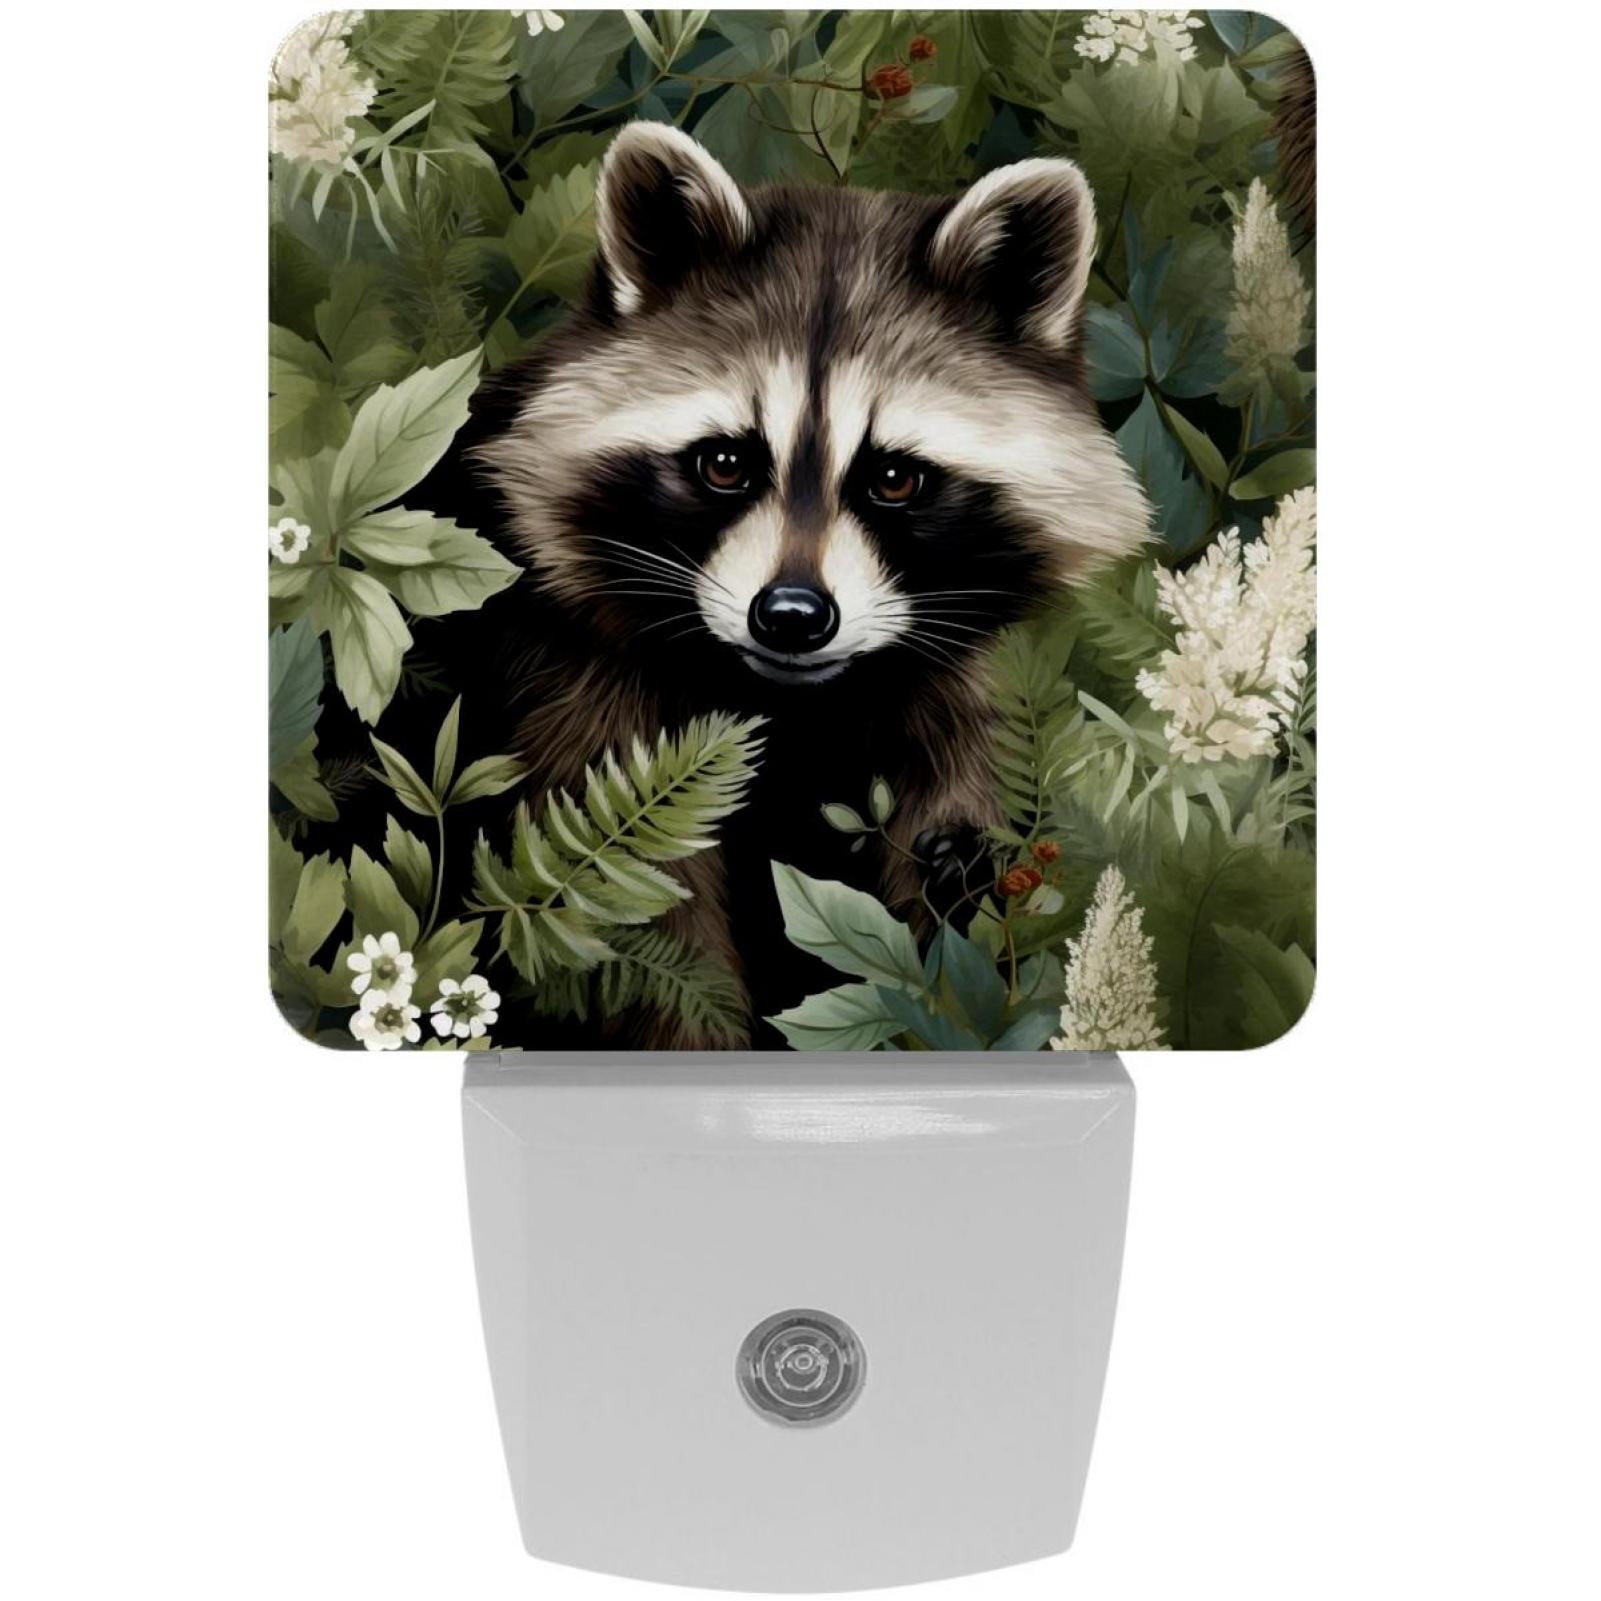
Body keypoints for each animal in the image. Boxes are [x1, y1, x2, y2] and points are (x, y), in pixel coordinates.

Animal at [452, 123, 1150, 1047]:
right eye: (723, 462)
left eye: (894, 478)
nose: (790, 615)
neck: (792, 707)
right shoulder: (573, 690)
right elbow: (635, 918)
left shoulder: (962, 699)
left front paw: (960, 897)